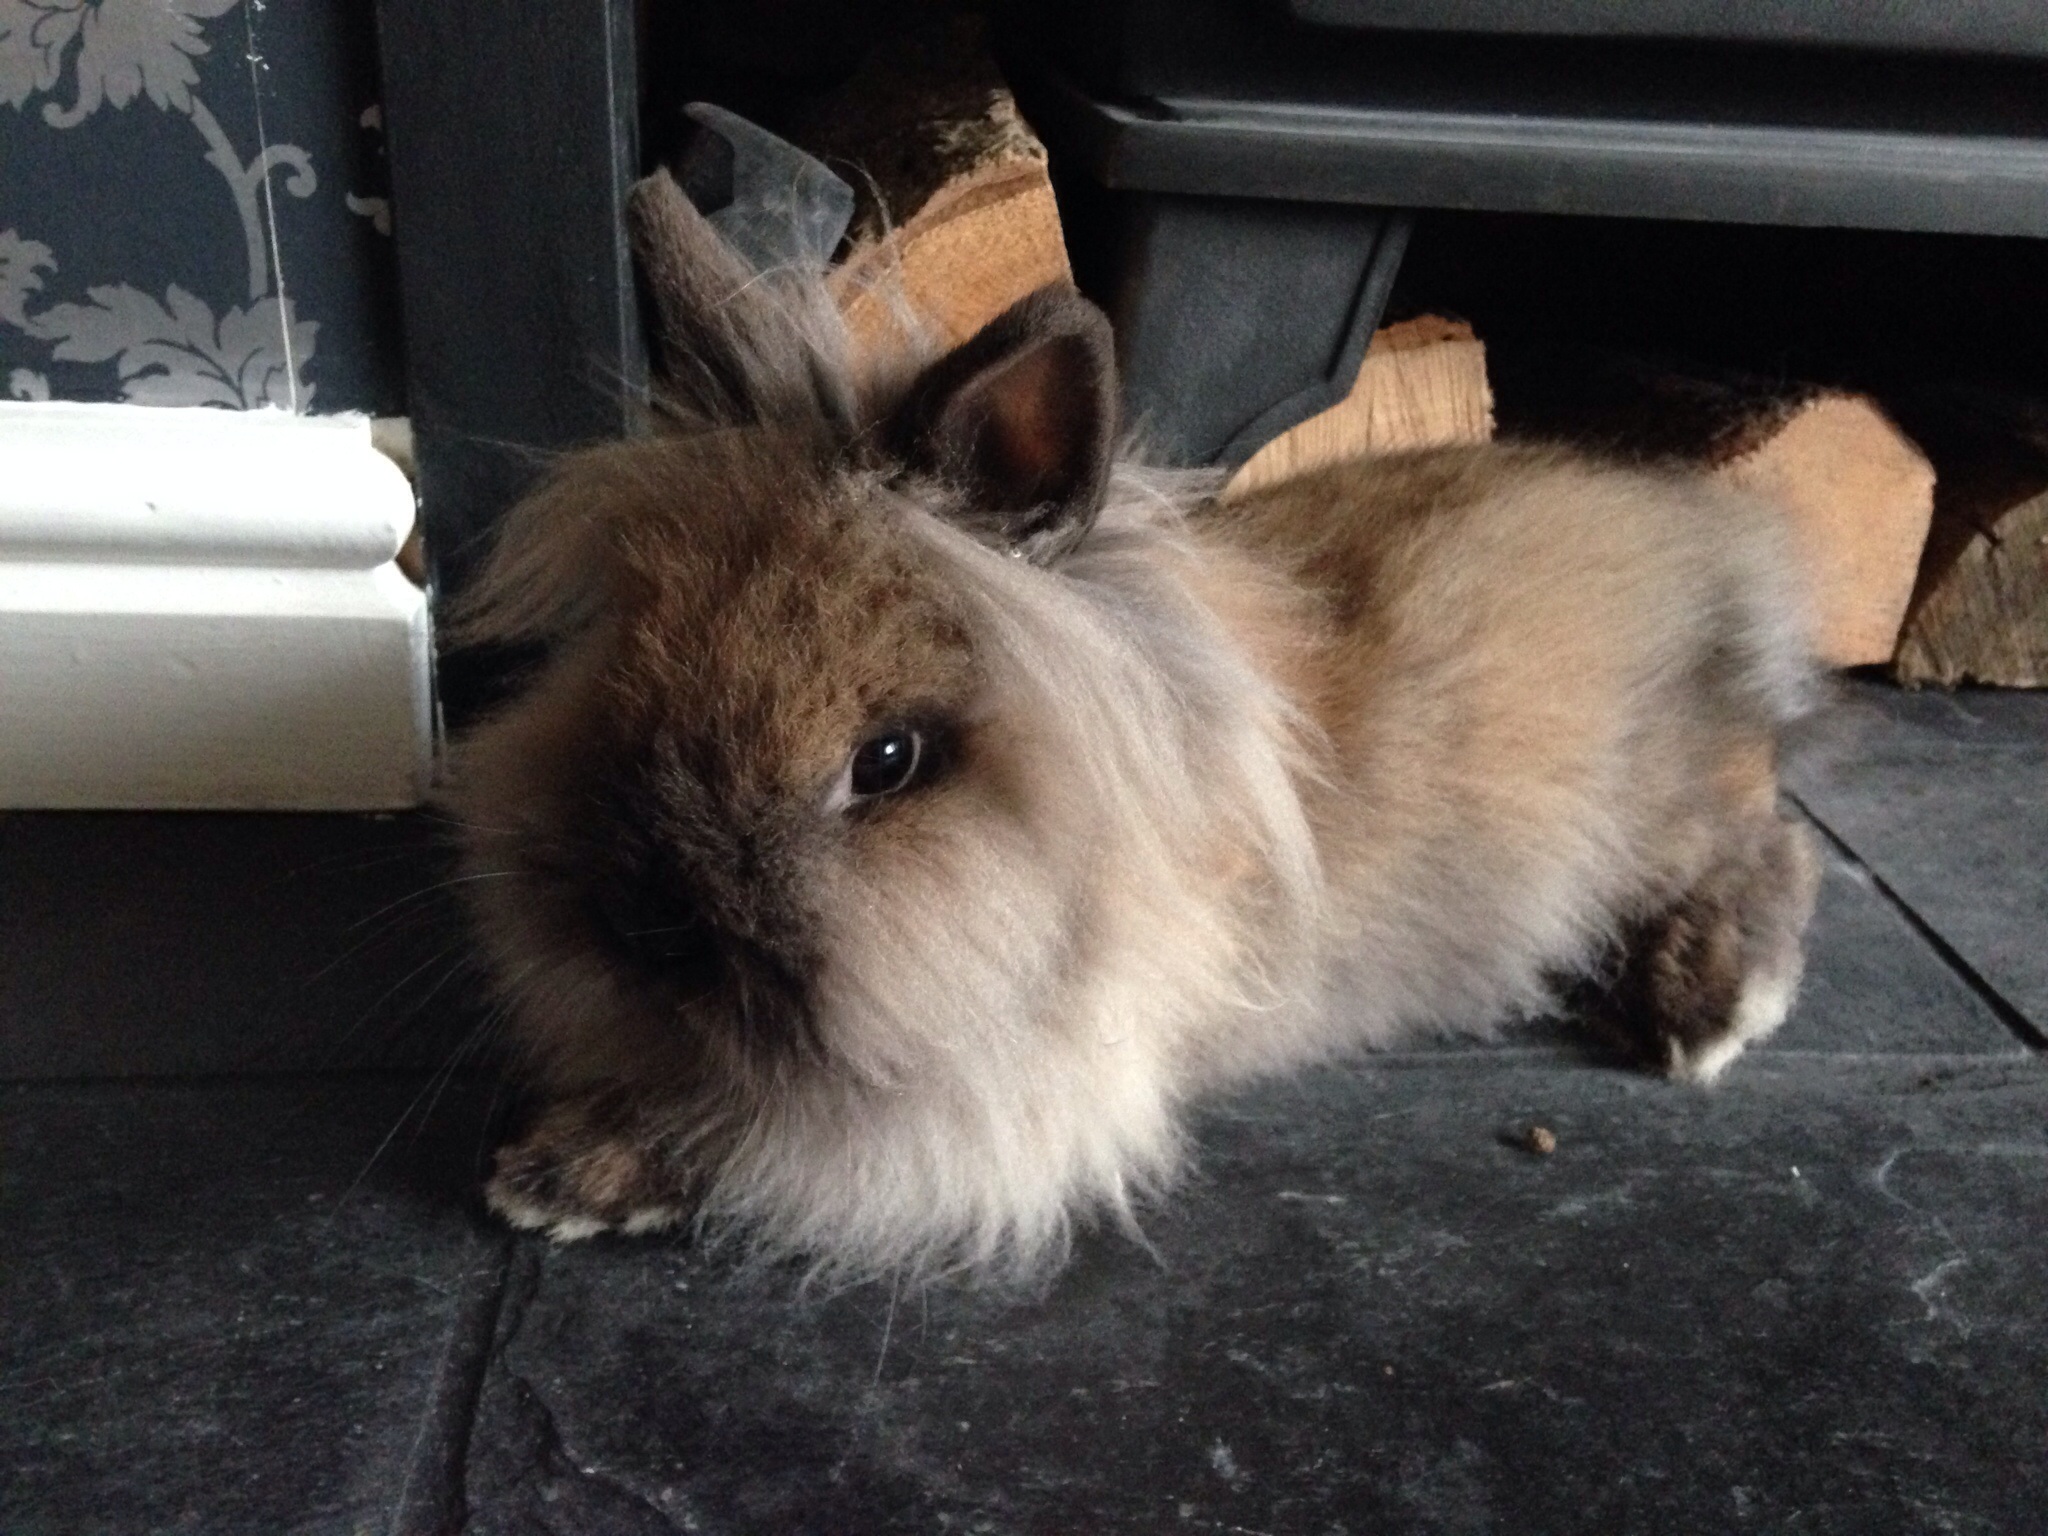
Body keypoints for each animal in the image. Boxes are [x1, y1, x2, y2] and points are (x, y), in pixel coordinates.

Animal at [447, 170, 1820, 1280]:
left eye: (886, 761)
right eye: (622, 658)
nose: (644, 931)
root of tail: (1708, 539)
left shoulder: (1009, 1097)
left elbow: (771, 1134)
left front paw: (564, 1172)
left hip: (1659, 805)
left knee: (1771, 837)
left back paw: (1705, 1006)